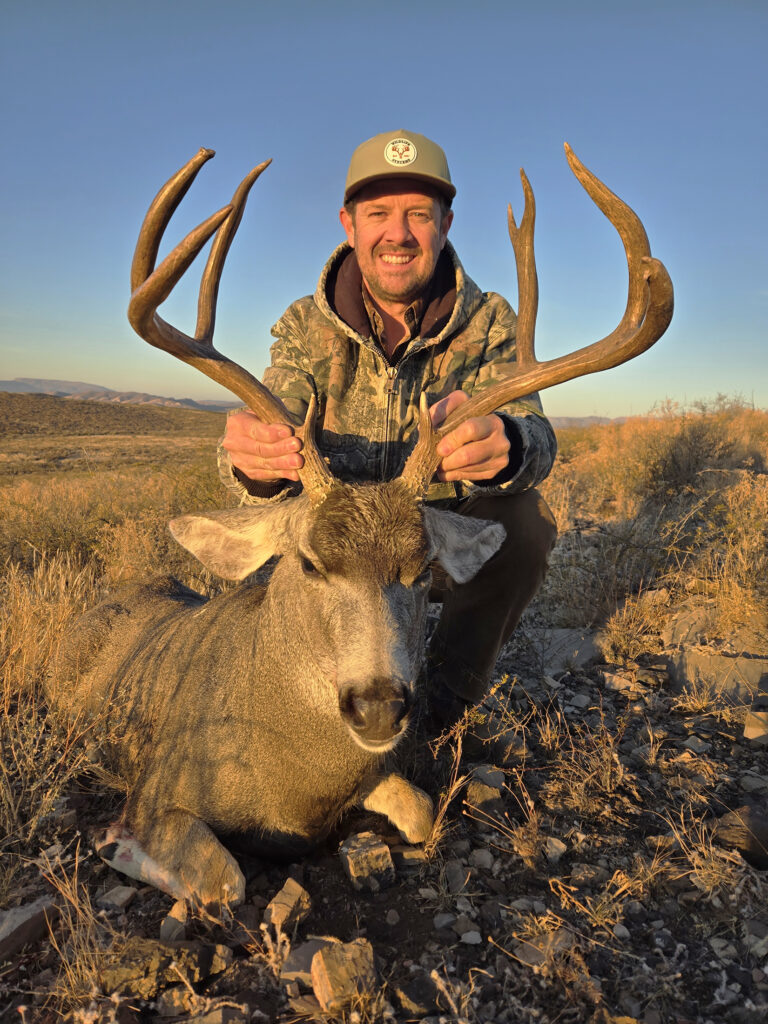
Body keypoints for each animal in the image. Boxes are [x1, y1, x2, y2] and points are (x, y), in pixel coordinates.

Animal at [52, 145, 673, 910]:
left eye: (422, 569)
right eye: (309, 563)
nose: (377, 707)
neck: (297, 786)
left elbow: (426, 809)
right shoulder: (158, 788)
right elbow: (224, 879)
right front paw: (118, 847)